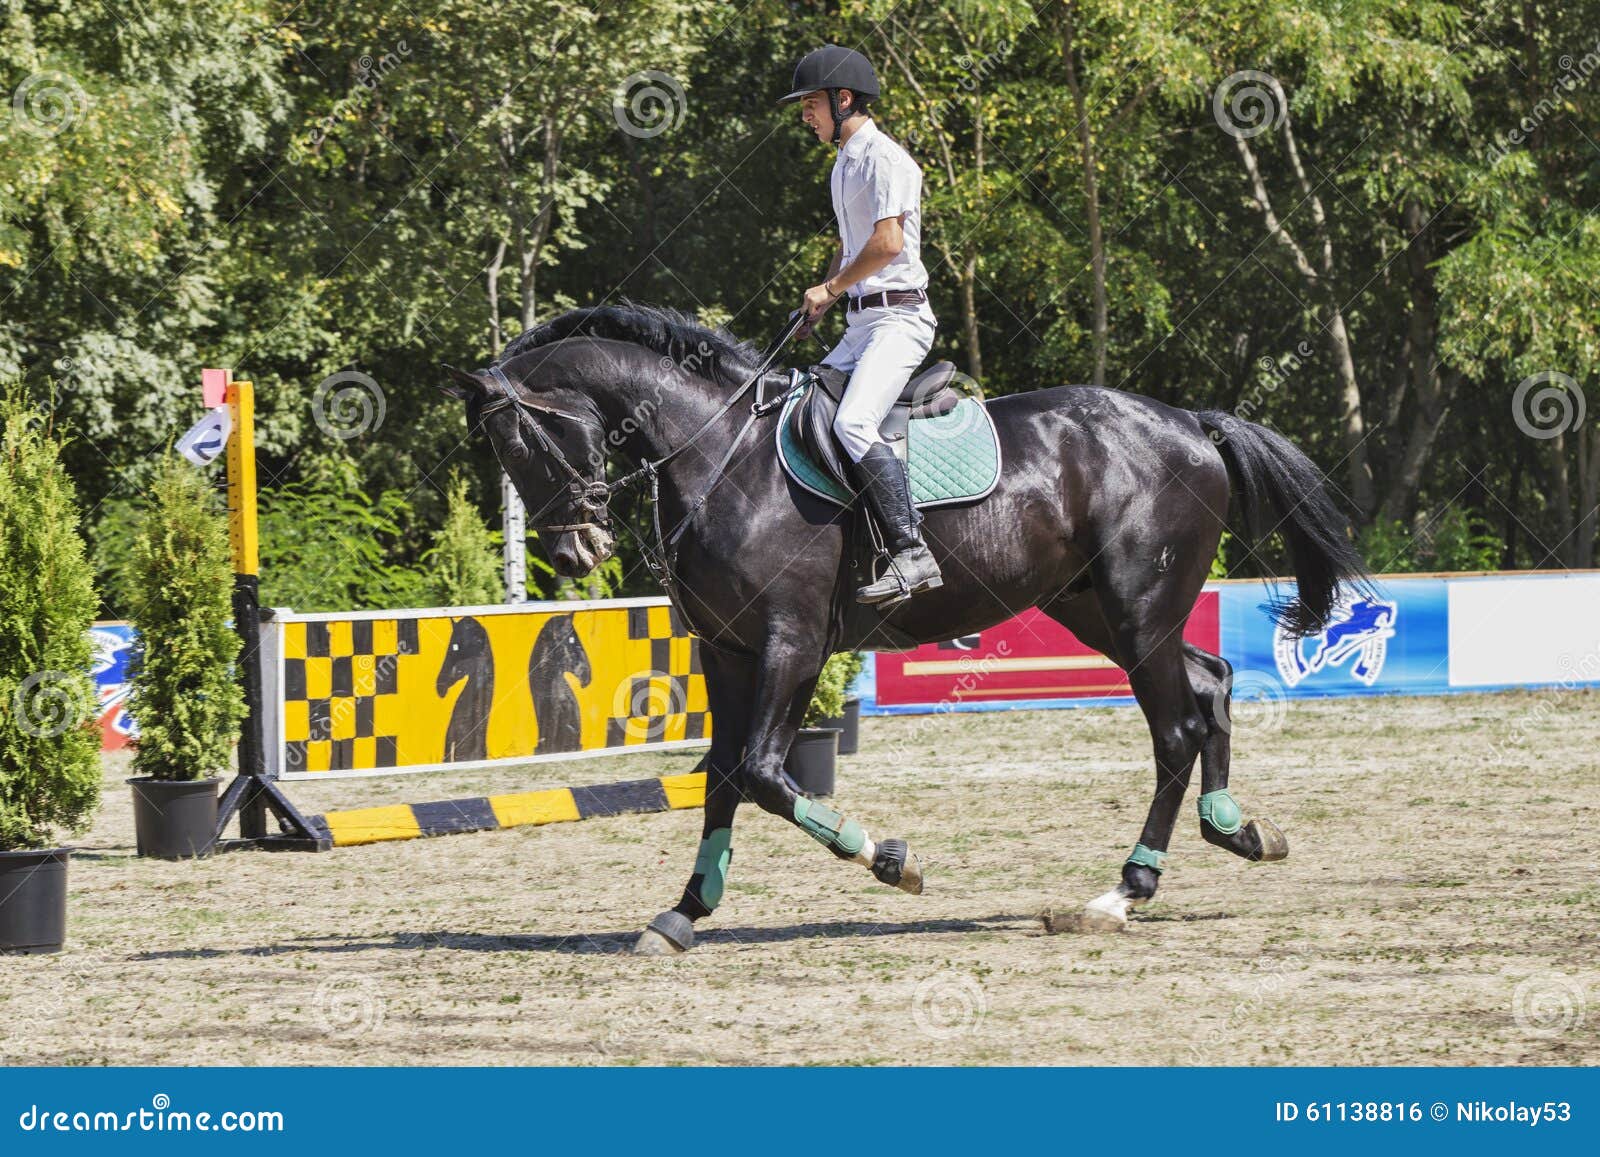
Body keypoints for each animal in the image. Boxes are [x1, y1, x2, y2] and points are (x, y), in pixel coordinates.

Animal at [441, 304, 1368, 954]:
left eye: (524, 443)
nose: (577, 548)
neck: (718, 454)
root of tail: (1187, 422)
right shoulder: (727, 650)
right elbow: (724, 779)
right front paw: (683, 912)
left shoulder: (790, 643)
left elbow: (766, 774)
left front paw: (891, 859)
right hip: (1099, 607)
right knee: (1210, 684)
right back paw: (1236, 827)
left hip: (1139, 609)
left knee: (1175, 728)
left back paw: (1123, 890)